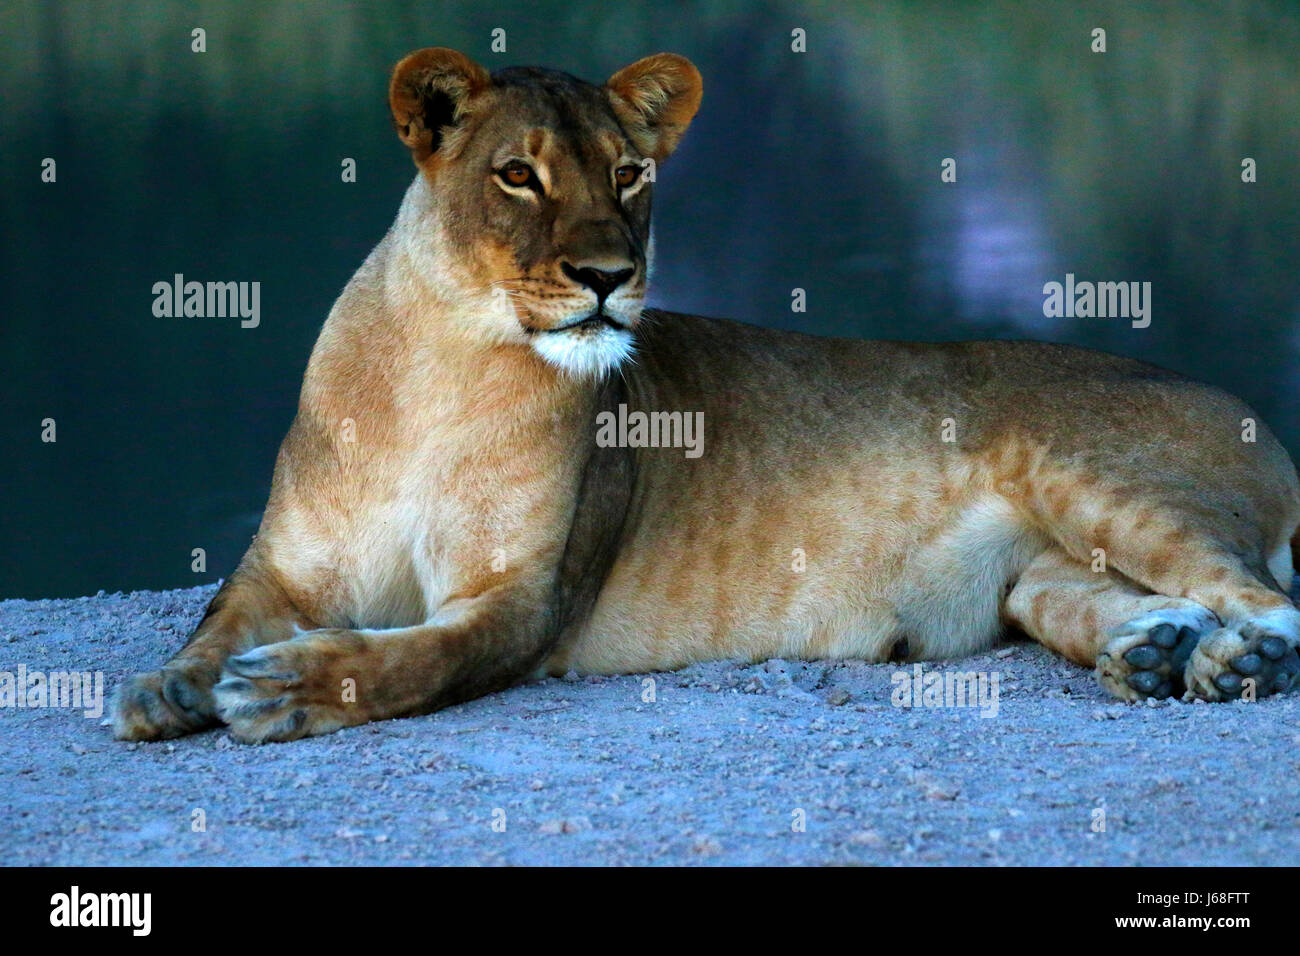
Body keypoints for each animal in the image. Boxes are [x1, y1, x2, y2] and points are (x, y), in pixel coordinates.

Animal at [113, 48, 1300, 743]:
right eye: (518, 175)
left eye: (630, 173)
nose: (608, 275)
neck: (441, 367)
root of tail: (1257, 416)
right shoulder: (282, 565)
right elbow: (216, 620)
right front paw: (166, 689)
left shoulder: (525, 601)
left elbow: (409, 659)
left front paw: (280, 689)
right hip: (1040, 575)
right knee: (1119, 600)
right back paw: (1153, 650)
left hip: (1091, 477)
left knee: (1267, 599)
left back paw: (1234, 659)